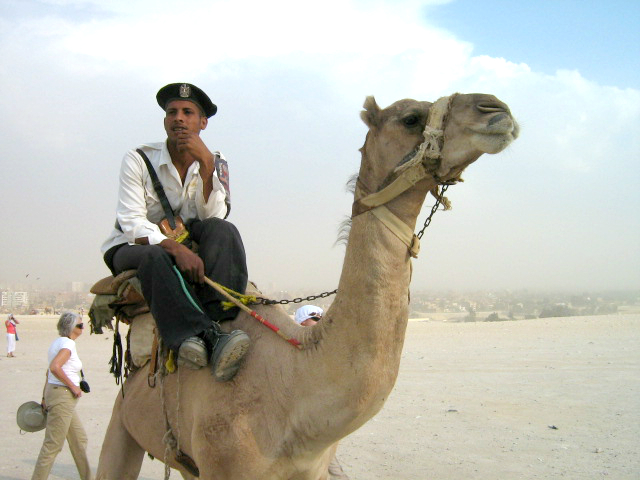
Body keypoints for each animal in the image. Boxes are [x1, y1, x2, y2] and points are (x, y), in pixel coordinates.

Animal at [96, 92, 519, 480]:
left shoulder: (308, 470)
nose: (497, 110)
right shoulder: (223, 463)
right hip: (121, 422)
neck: (294, 387)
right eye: (411, 118)